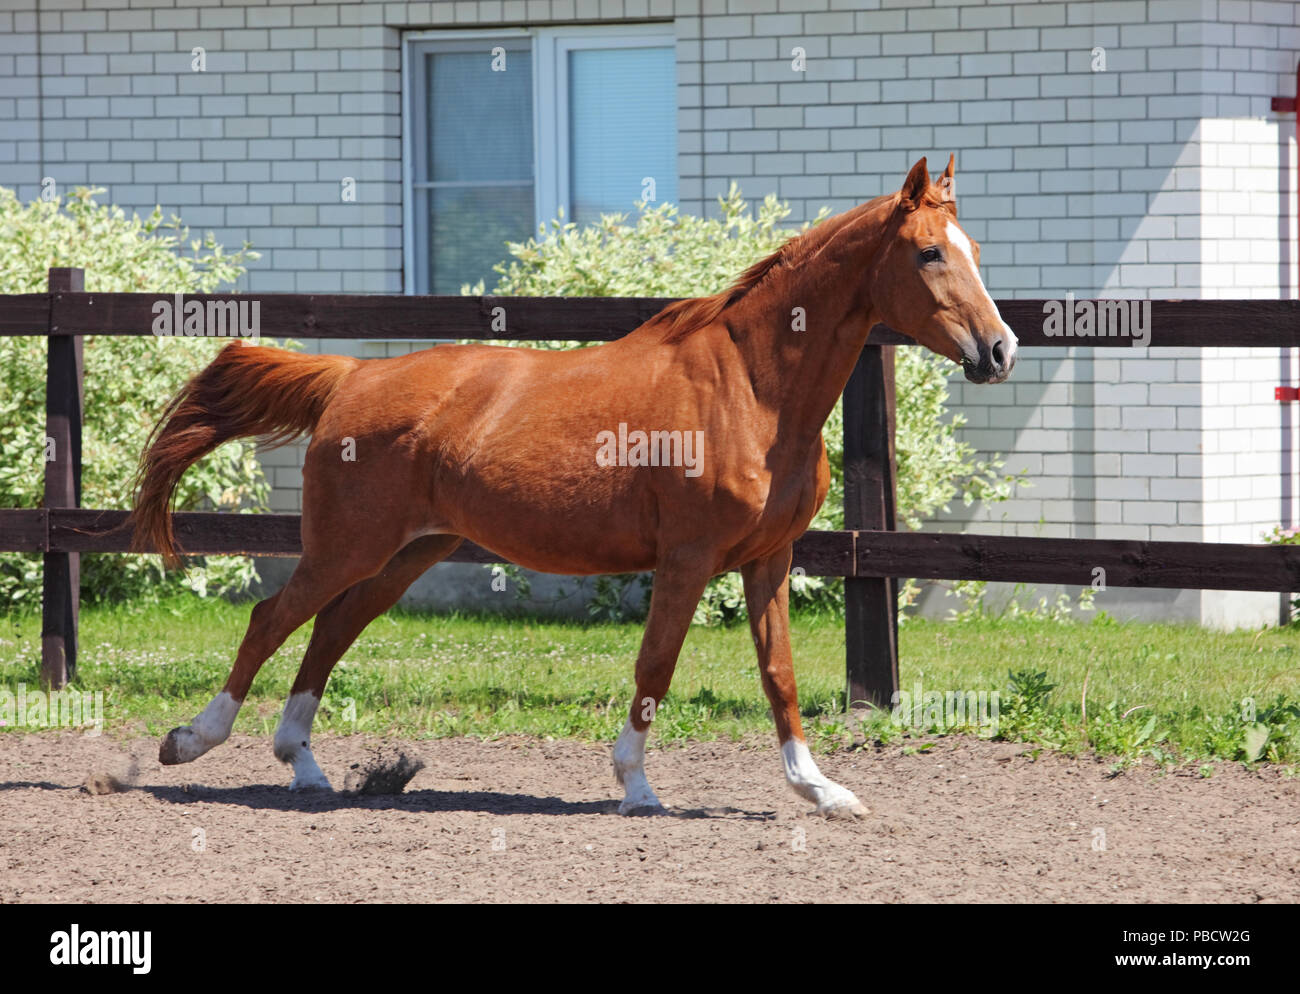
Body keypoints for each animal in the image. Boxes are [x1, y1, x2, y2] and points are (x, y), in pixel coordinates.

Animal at [130, 155, 1016, 817]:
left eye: (975, 246)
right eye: (930, 252)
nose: (1000, 350)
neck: (754, 392)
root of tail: (353, 376)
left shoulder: (769, 560)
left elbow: (781, 678)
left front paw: (823, 792)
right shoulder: (687, 560)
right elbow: (655, 668)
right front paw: (637, 787)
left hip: (406, 554)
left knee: (328, 630)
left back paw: (306, 769)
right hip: (348, 546)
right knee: (271, 619)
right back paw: (189, 742)